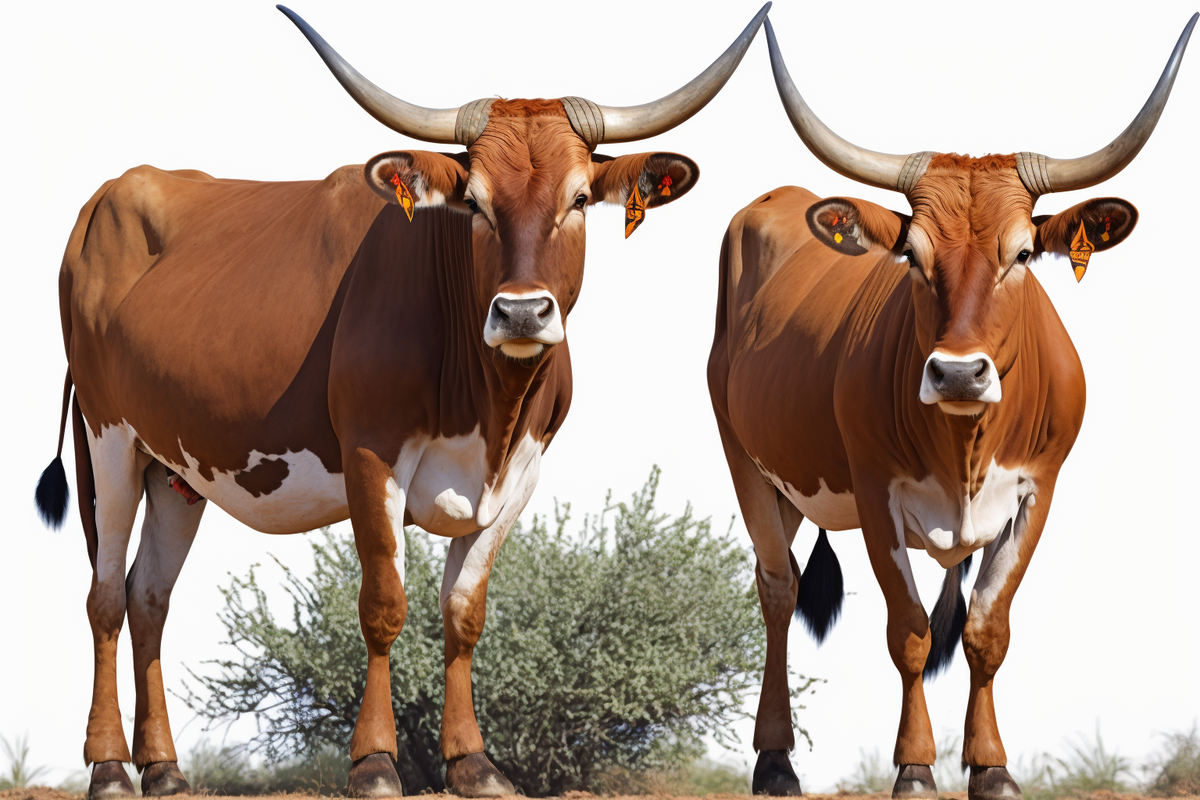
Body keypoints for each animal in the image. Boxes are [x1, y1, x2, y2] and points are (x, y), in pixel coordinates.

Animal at [32, 5, 771, 798]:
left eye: (579, 199)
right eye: (474, 202)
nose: (522, 312)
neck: (487, 408)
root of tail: (111, 194)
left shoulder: (519, 476)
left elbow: (464, 614)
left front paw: (473, 762)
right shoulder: (369, 452)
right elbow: (384, 604)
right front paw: (377, 762)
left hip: (176, 468)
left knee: (149, 598)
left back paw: (165, 769)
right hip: (108, 437)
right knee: (106, 596)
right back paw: (111, 766)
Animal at [707, 14, 1195, 800]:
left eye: (1023, 254)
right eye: (912, 255)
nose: (960, 372)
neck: (963, 445)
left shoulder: (1037, 492)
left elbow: (986, 630)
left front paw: (991, 766)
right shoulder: (875, 494)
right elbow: (908, 631)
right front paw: (914, 765)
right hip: (743, 457)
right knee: (778, 588)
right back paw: (776, 761)